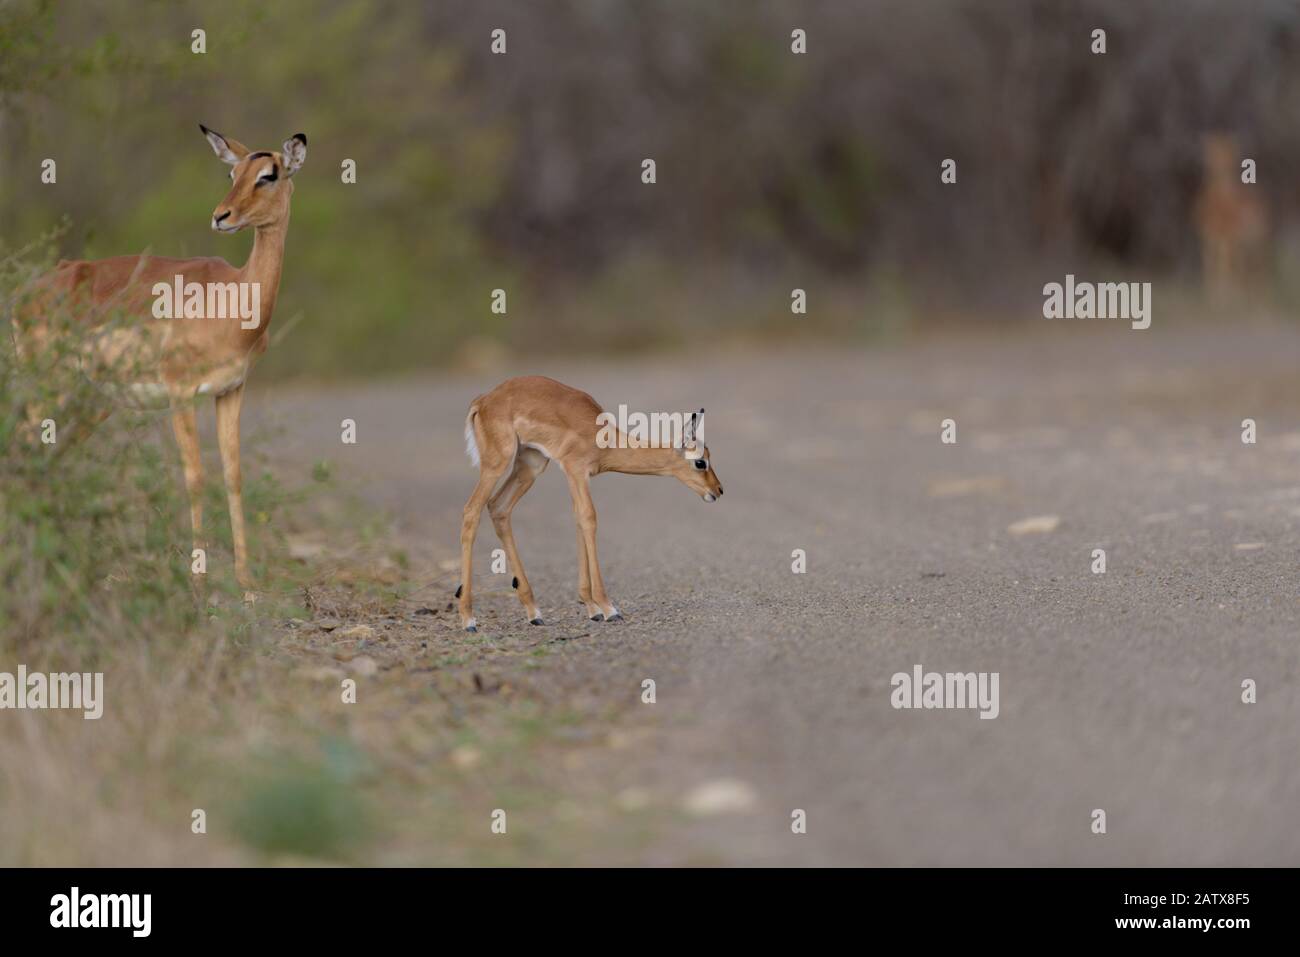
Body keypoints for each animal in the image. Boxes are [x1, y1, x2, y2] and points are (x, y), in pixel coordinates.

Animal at [11, 125, 308, 593]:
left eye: (269, 175)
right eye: (232, 173)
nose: (221, 216)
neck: (233, 298)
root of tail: (29, 292)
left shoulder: (231, 390)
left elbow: (233, 476)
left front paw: (245, 583)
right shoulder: (180, 391)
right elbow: (195, 477)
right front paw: (199, 581)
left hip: (88, 401)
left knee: (47, 457)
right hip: (49, 387)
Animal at [456, 376, 723, 632]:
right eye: (700, 462)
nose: (718, 490)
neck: (604, 438)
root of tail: (484, 400)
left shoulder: (578, 476)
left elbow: (578, 518)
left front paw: (592, 608)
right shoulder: (575, 470)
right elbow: (589, 518)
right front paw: (609, 608)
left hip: (530, 466)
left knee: (498, 507)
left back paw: (534, 613)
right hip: (497, 464)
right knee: (471, 511)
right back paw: (469, 620)